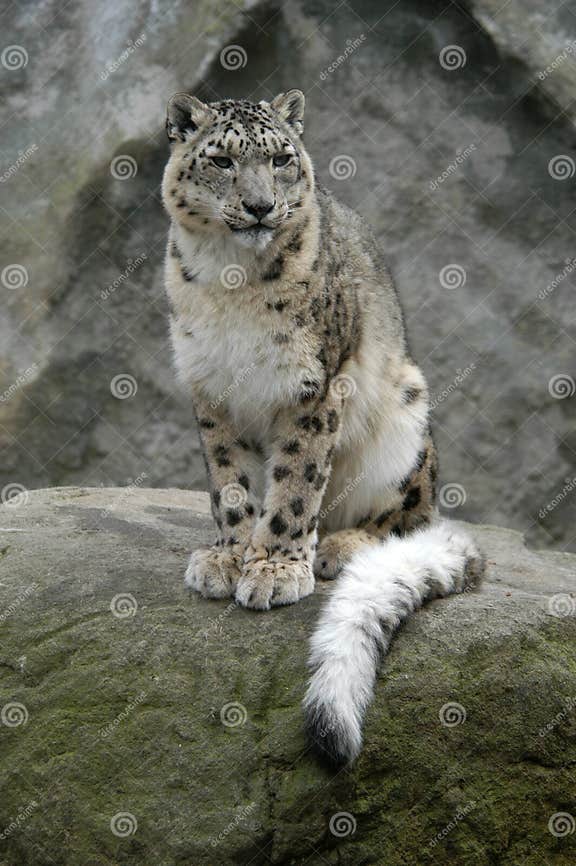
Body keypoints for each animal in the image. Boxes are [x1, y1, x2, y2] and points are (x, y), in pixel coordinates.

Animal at [161, 89, 484, 765]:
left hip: (408, 418)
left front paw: (276, 568)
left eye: (282, 159)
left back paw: (339, 546)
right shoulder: (209, 389)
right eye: (223, 161)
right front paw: (230, 557)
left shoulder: (312, 387)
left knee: (409, 515)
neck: (229, 279)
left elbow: (295, 482)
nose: (261, 206)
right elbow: (229, 484)